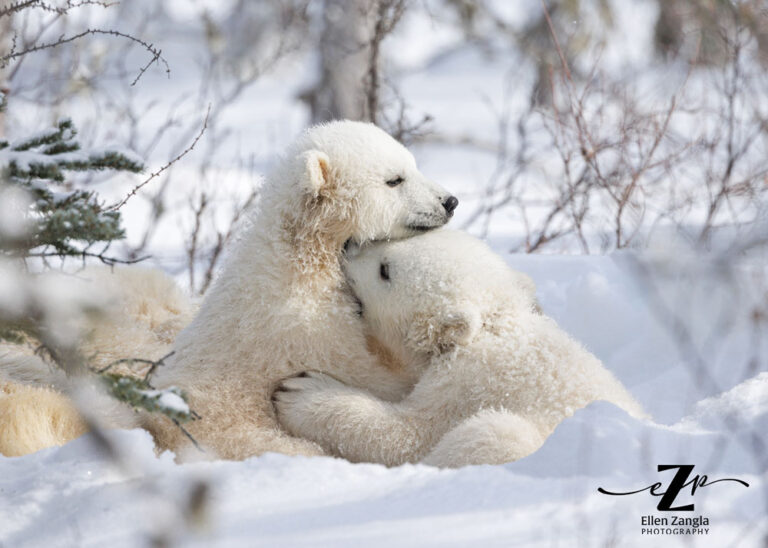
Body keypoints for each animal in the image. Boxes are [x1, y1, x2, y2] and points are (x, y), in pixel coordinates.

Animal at [1, 121, 458, 460]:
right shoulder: (302, 325)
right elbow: (370, 374)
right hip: (234, 429)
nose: (449, 200)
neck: (300, 257)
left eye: (413, 164)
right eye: (394, 180)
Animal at [273, 229, 646, 467]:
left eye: (385, 269)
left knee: (492, 435)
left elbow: (407, 436)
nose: (349, 244)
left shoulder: (469, 383)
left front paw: (299, 392)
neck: (491, 327)